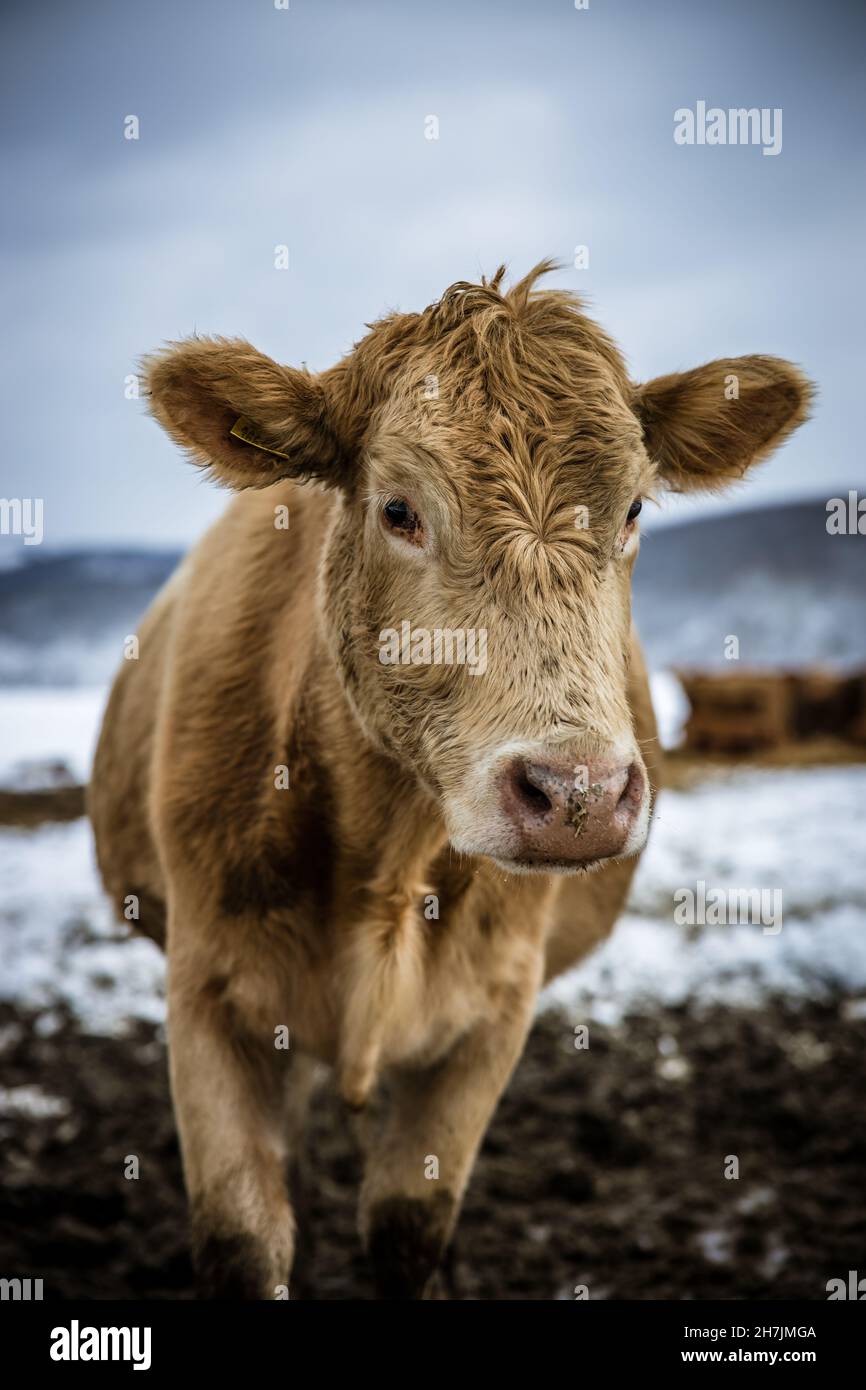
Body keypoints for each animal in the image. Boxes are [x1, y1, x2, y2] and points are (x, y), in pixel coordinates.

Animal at [89, 261, 812, 1298]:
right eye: (399, 510)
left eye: (634, 509)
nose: (578, 795)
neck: (383, 860)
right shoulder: (207, 993)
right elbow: (243, 1238)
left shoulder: (492, 1015)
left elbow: (408, 1221)